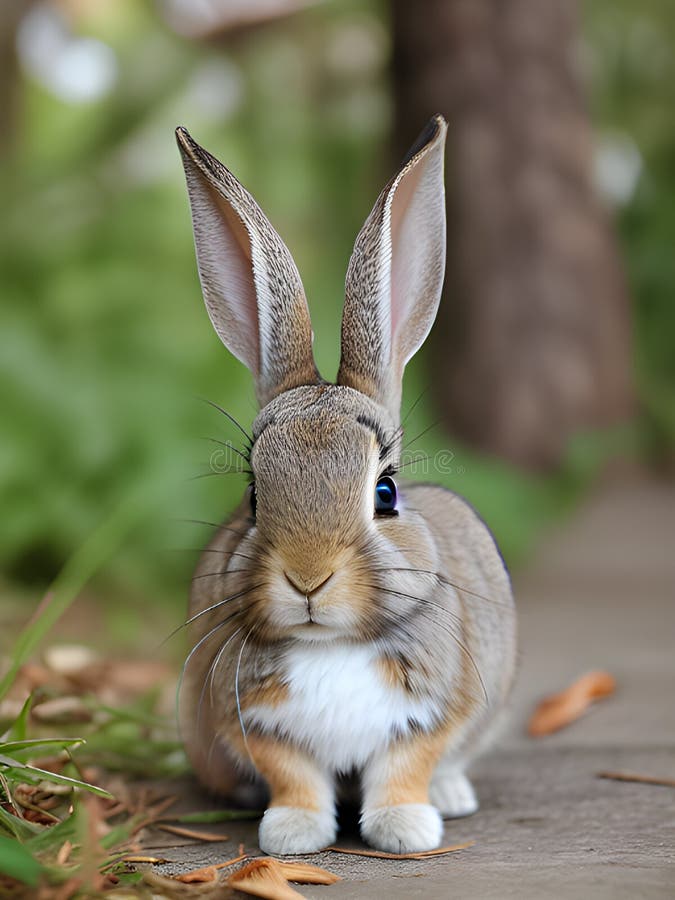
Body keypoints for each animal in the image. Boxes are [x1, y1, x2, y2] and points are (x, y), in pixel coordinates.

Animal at [175, 115, 517, 856]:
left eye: (384, 493)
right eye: (253, 496)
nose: (308, 578)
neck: (331, 645)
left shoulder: (437, 709)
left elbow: (405, 767)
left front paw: (405, 828)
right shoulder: (253, 721)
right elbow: (294, 776)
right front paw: (293, 836)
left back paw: (452, 797)